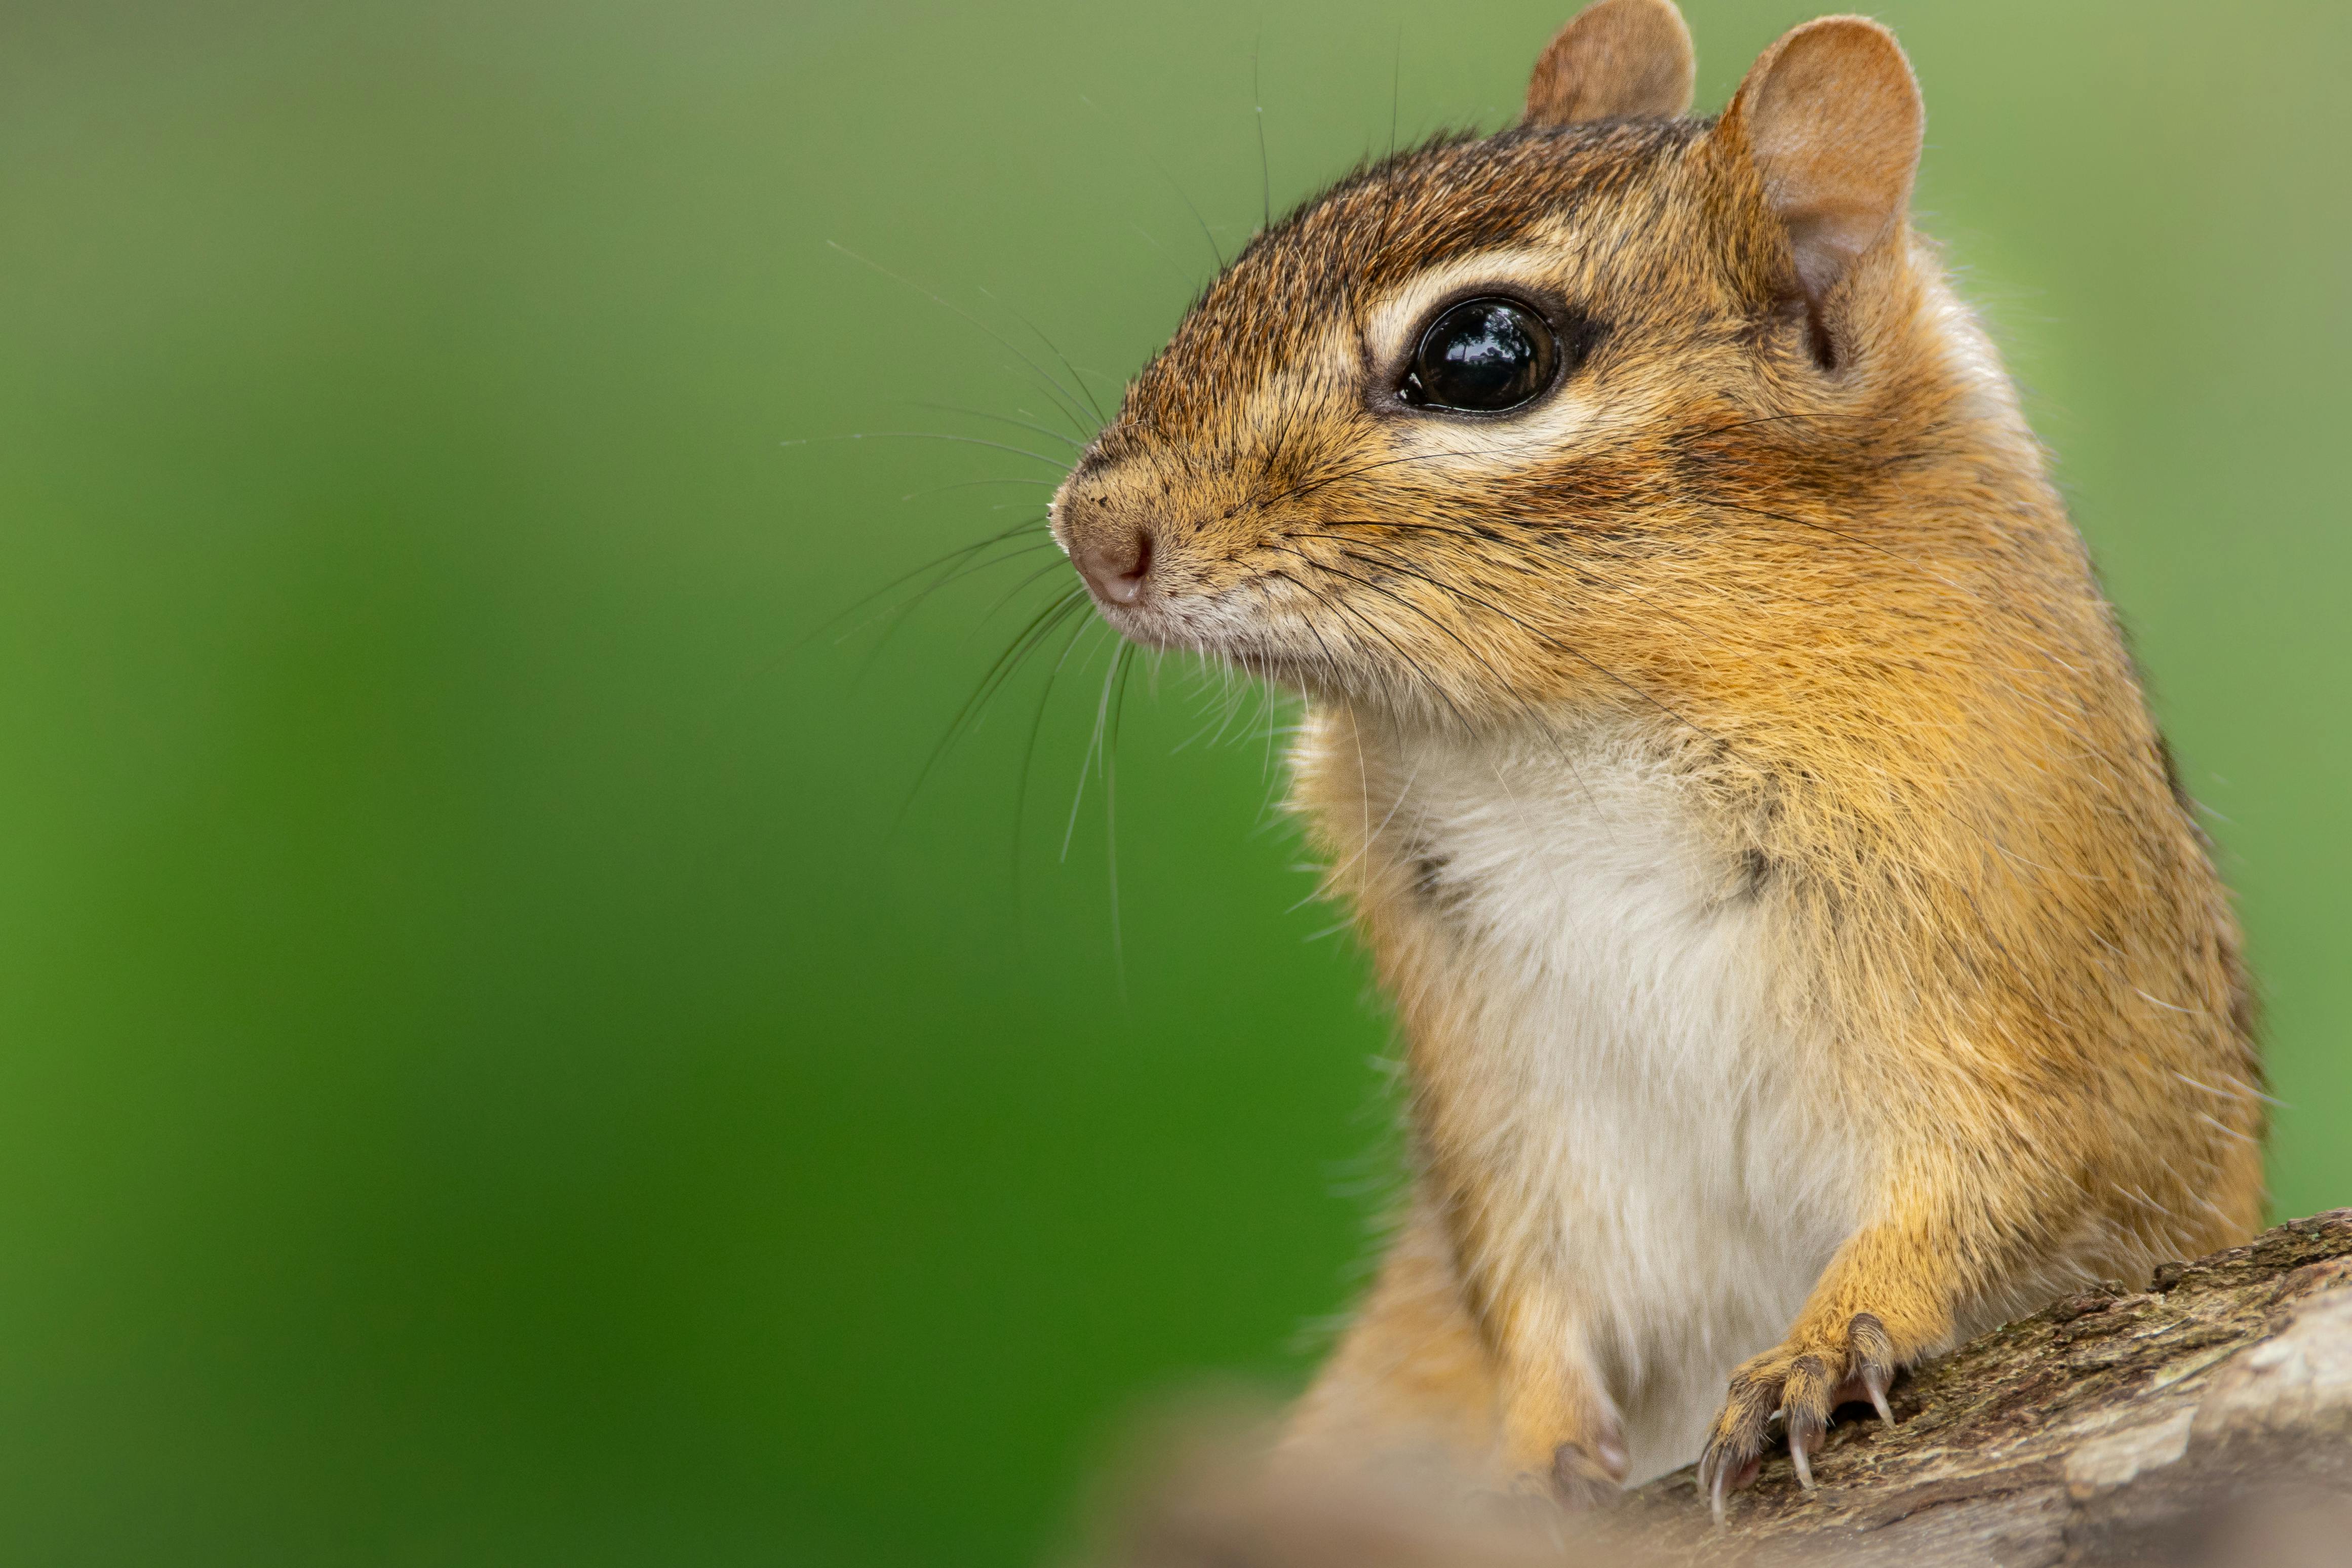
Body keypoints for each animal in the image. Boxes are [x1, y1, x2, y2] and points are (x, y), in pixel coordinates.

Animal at [1045, 0, 2266, 1519]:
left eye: (1483, 354)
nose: (1090, 529)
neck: (1562, 737)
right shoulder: (1498, 1085)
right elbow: (1528, 1283)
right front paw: (1521, 1455)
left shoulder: (2031, 990)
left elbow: (1989, 1180)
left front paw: (1815, 1350)